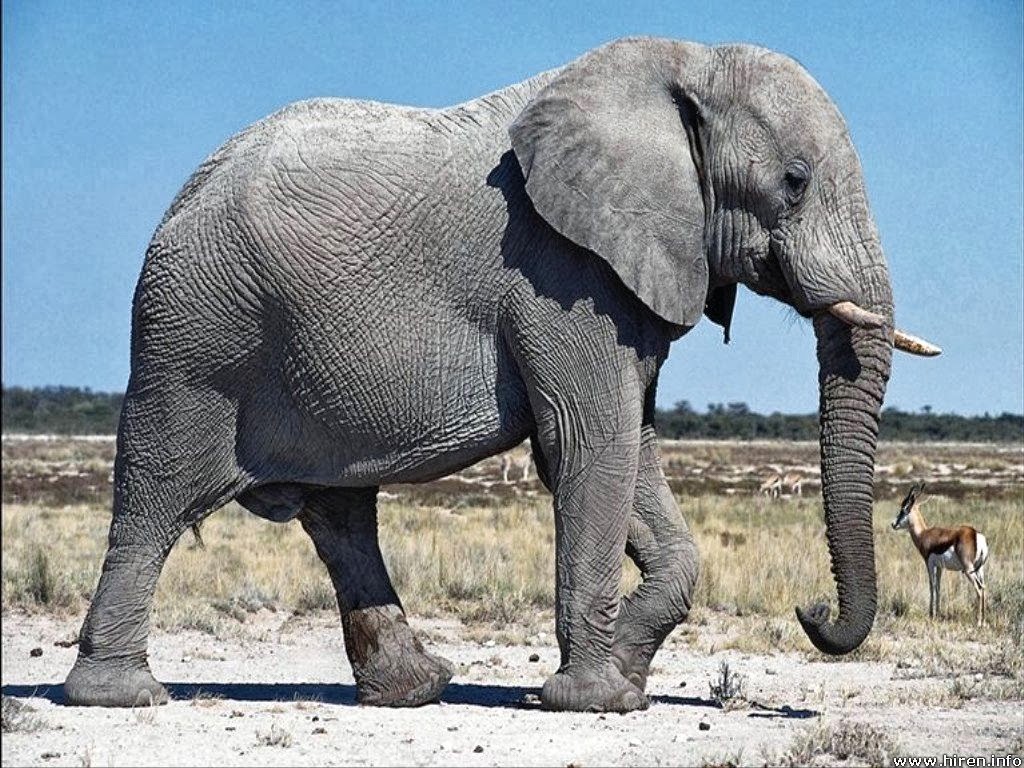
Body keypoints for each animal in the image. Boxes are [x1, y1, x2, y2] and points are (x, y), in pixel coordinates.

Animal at [64, 37, 939, 713]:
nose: (813, 609)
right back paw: (122, 697)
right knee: (157, 498)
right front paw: (596, 700)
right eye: (795, 179)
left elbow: (629, 448)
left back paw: (414, 690)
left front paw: (624, 676)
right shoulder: (562, 271)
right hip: (194, 339)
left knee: (340, 514)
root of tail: (182, 196)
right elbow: (590, 445)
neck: (684, 64)